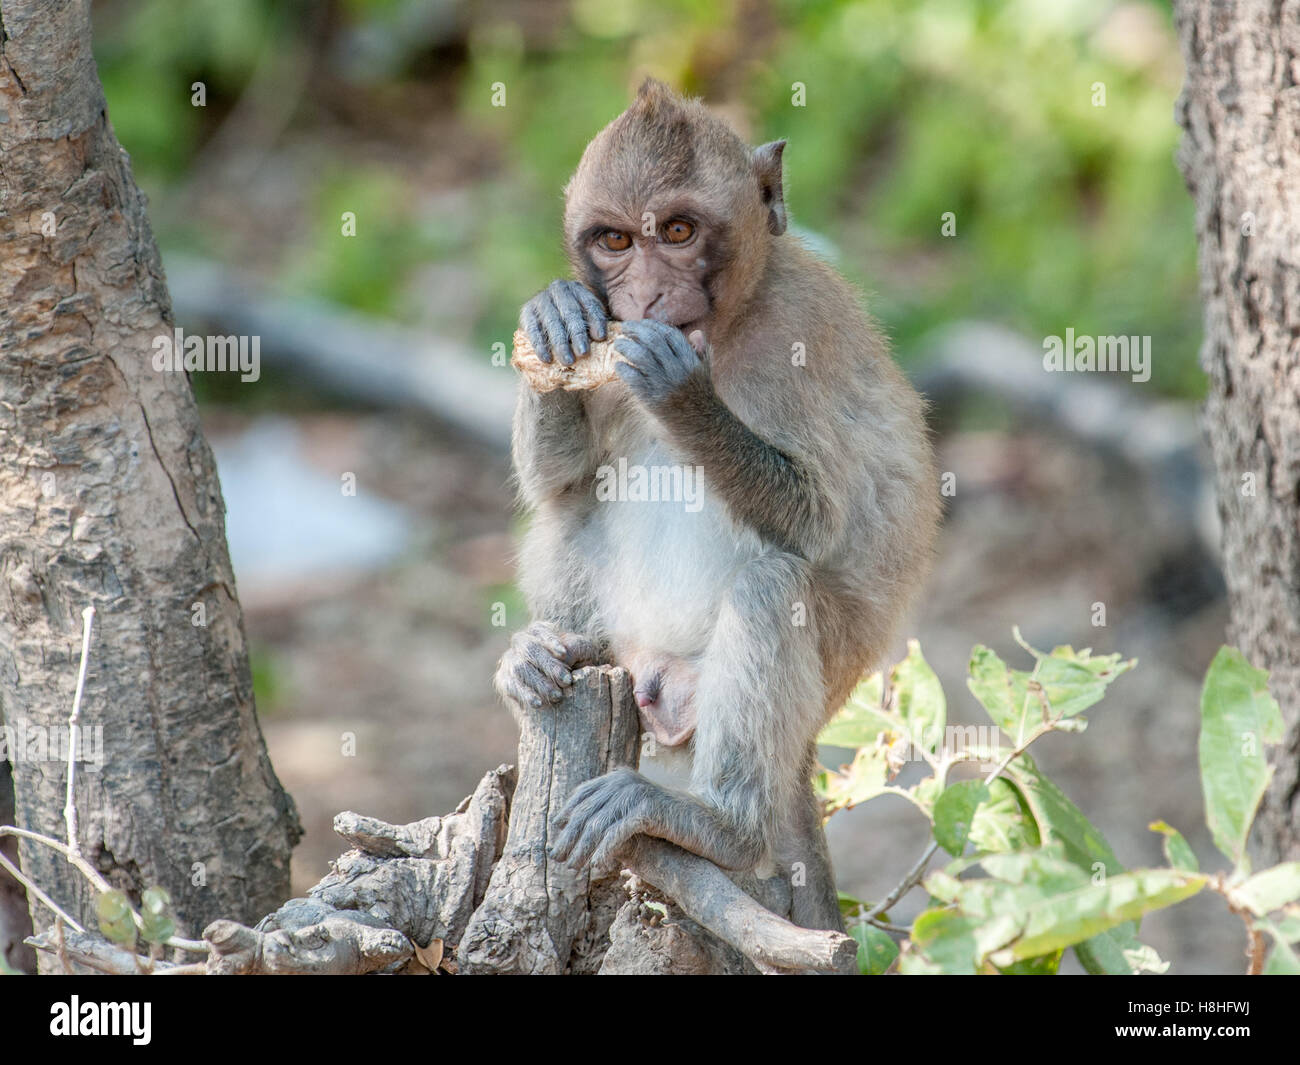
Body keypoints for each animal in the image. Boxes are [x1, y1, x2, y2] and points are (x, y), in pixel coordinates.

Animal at [494, 79, 940, 932]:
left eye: (677, 230)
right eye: (614, 241)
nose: (645, 295)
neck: (729, 324)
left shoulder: (801, 332)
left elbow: (817, 520)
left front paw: (679, 389)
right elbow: (558, 479)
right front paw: (554, 319)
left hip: (820, 678)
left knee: (771, 587)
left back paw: (722, 825)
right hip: (635, 652)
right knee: (572, 509)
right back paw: (551, 652)